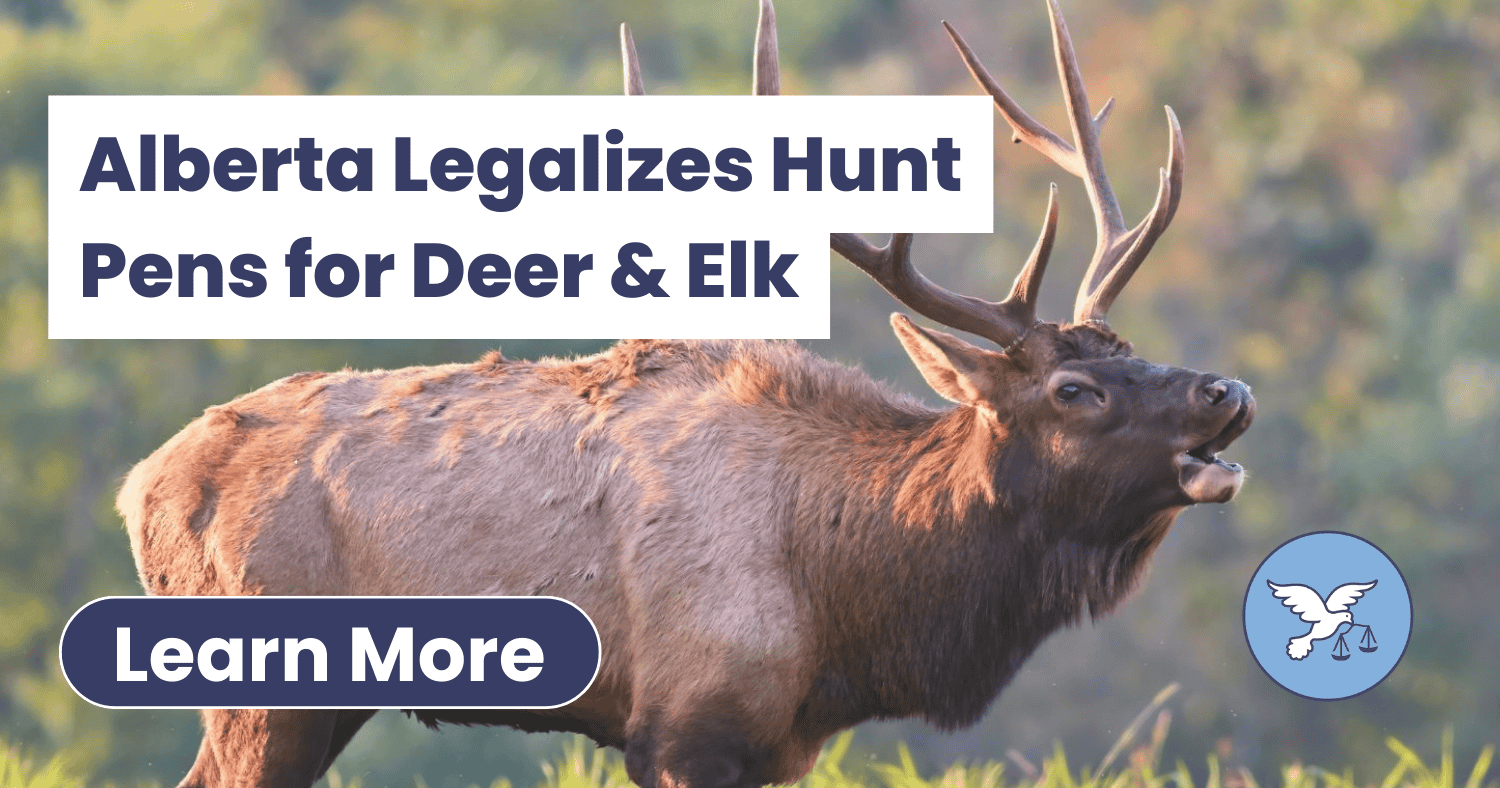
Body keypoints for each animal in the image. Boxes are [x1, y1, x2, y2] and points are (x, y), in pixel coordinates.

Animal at [117, 1, 1254, 786]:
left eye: (1135, 353)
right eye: (1074, 388)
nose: (1227, 391)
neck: (849, 597)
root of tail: (140, 488)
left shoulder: (785, 740)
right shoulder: (685, 715)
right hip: (266, 681)